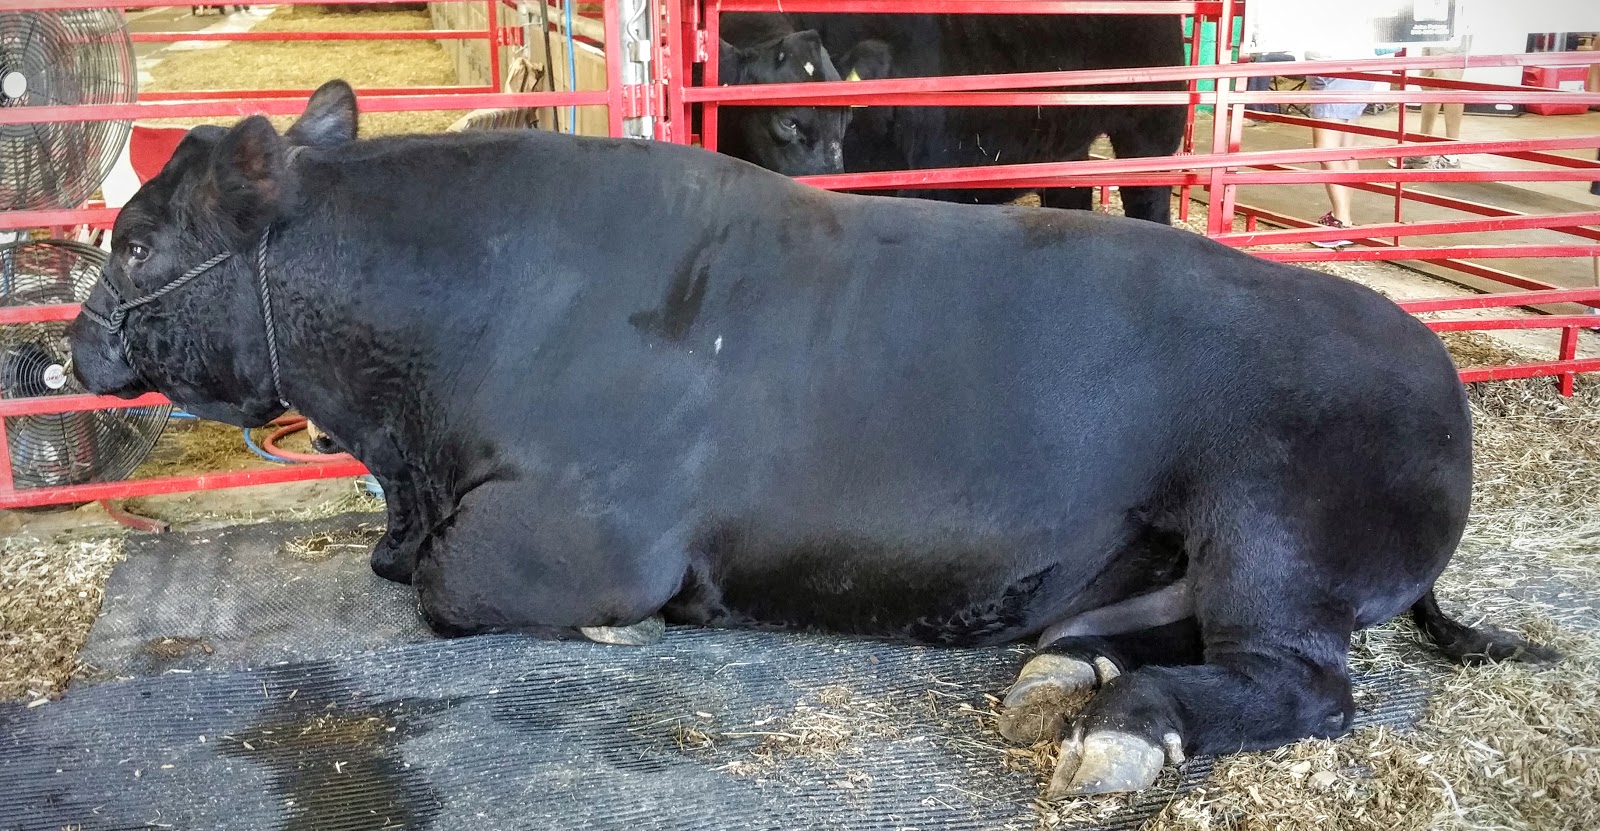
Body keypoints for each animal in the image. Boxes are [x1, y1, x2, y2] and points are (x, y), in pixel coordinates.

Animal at [69, 80, 1555, 798]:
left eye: (138, 241)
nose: (73, 345)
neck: (407, 440)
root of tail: (1426, 353)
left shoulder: (590, 535)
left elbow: (452, 588)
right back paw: (1064, 665)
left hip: (1280, 527)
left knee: (1304, 680)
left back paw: (1121, 723)